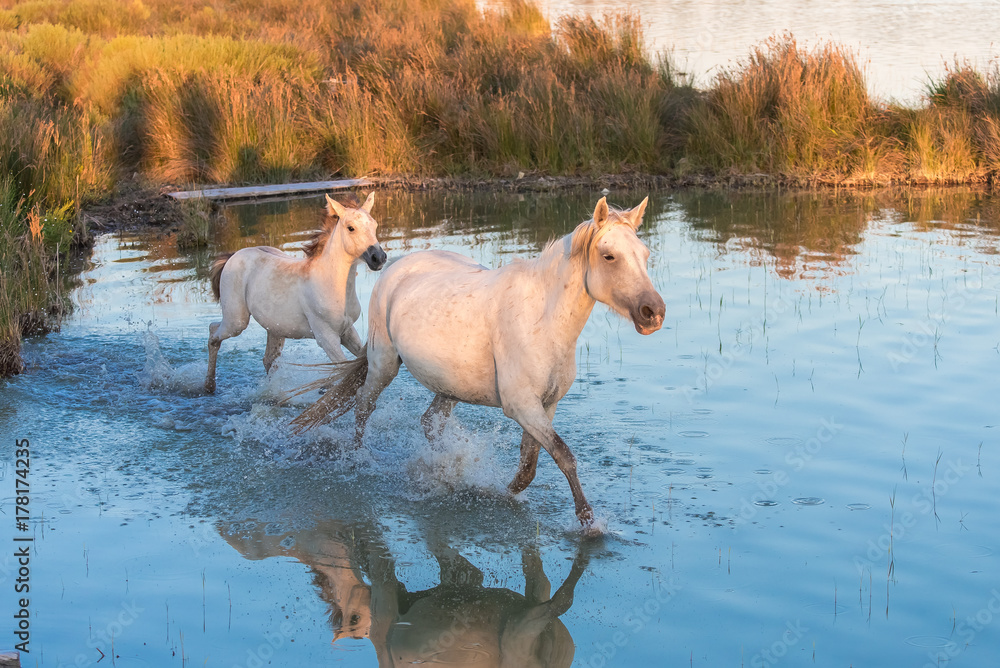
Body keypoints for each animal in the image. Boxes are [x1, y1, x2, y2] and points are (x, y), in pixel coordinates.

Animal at [204, 192, 387, 394]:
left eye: (374, 225)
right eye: (351, 228)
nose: (379, 258)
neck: (331, 285)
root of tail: (232, 256)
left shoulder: (347, 331)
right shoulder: (326, 337)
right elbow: (344, 369)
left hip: (274, 328)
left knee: (268, 359)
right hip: (236, 321)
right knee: (213, 334)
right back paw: (209, 386)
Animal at [292, 197, 665, 528]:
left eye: (644, 254)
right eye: (609, 256)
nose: (654, 313)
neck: (543, 320)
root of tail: (394, 265)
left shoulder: (546, 405)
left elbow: (529, 465)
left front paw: (504, 493)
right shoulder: (522, 407)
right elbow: (564, 456)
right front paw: (587, 520)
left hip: (449, 387)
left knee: (430, 423)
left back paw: (444, 471)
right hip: (384, 366)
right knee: (363, 407)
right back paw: (358, 459)